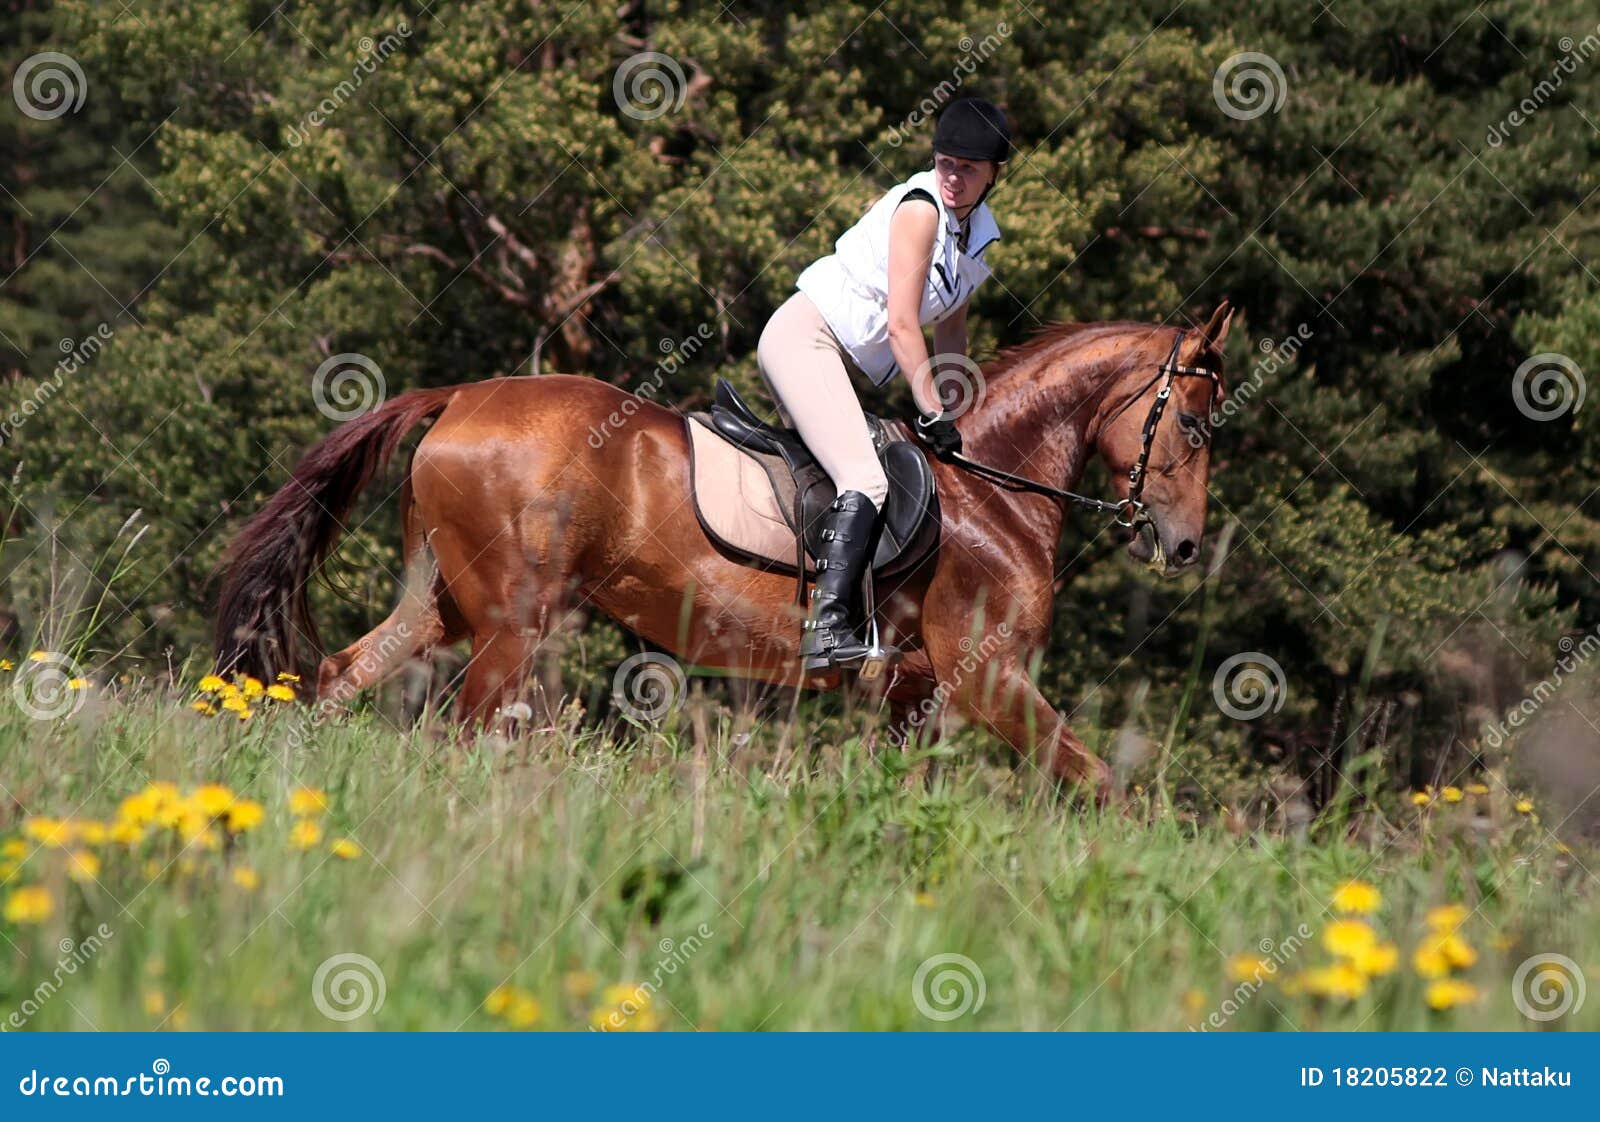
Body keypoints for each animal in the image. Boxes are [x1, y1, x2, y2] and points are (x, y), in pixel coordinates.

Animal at [212, 300, 1235, 799]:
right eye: (1192, 424)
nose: (1186, 546)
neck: (995, 490)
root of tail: (461, 396)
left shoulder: (914, 690)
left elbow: (889, 787)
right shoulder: (988, 676)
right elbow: (1098, 780)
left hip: (446, 601)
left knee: (343, 673)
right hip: (511, 620)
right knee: (465, 731)